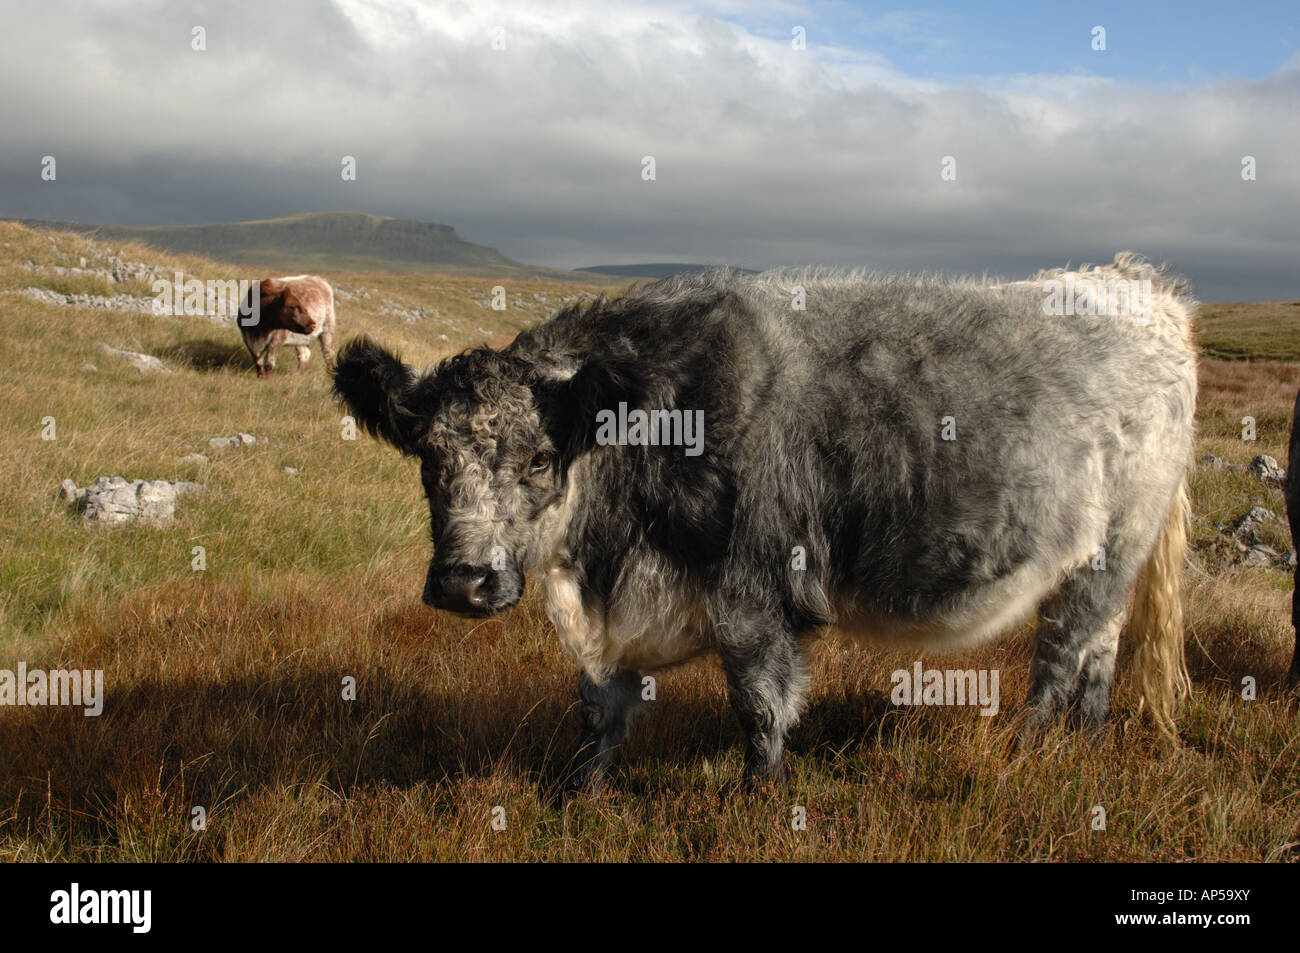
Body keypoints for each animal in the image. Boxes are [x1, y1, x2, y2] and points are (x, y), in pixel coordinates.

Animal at [333, 253, 1198, 790]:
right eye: (427, 457)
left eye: (542, 457)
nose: (464, 582)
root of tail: (1142, 289)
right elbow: (599, 711)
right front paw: (577, 794)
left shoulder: (751, 593)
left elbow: (759, 702)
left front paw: (759, 796)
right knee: (1099, 650)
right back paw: (1086, 742)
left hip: (1109, 545)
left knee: (1062, 652)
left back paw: (1027, 751)